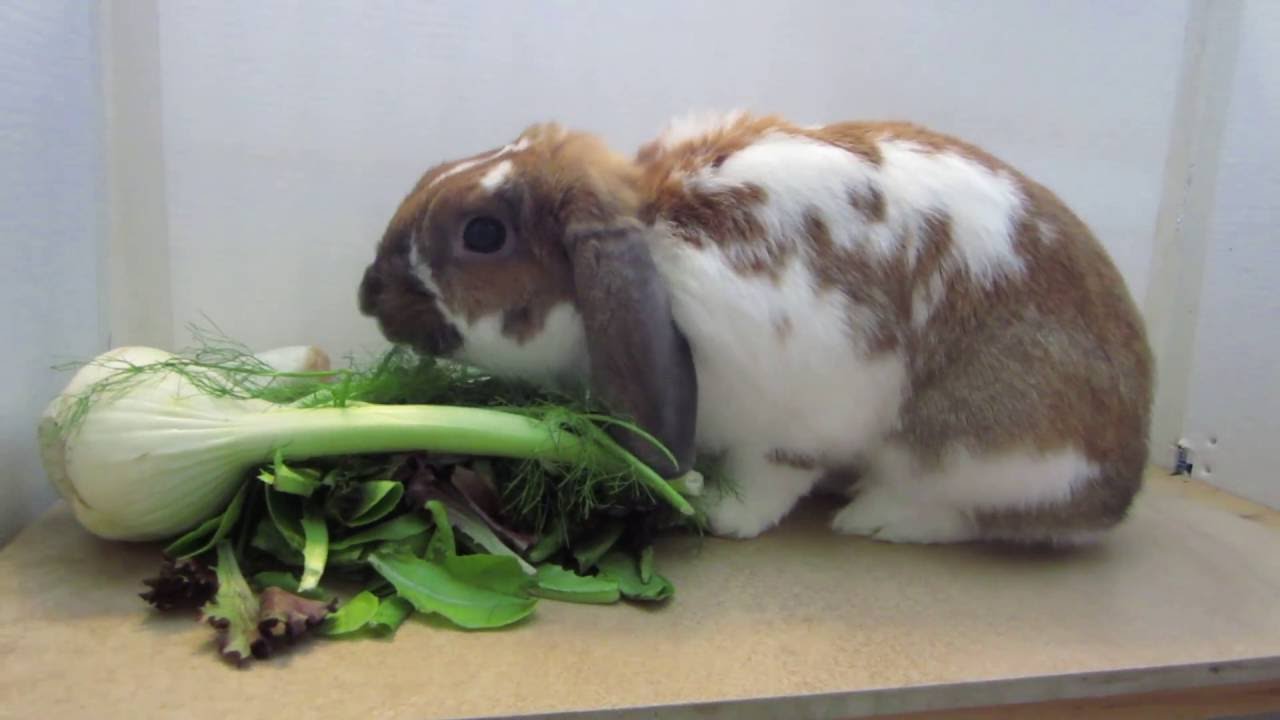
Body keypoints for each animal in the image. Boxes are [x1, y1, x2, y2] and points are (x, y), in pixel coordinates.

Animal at [358, 110, 1154, 546]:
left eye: (483, 234)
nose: (369, 296)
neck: (656, 239)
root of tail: (1119, 488)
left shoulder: (793, 412)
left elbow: (774, 475)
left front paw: (721, 514)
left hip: (985, 452)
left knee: (981, 513)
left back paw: (878, 518)